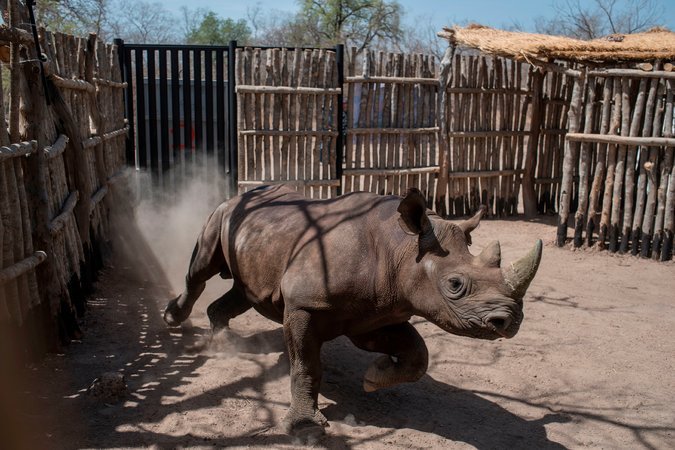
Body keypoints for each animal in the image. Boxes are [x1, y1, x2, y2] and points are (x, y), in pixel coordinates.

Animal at [164, 185, 542, 438]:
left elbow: (418, 355)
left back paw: (225, 343)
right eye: (454, 284)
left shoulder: (376, 313)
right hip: (221, 216)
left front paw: (374, 377)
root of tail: (235, 195)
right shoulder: (304, 305)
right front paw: (305, 429)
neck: (401, 248)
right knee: (202, 269)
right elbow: (306, 364)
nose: (509, 321)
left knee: (245, 292)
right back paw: (173, 319)